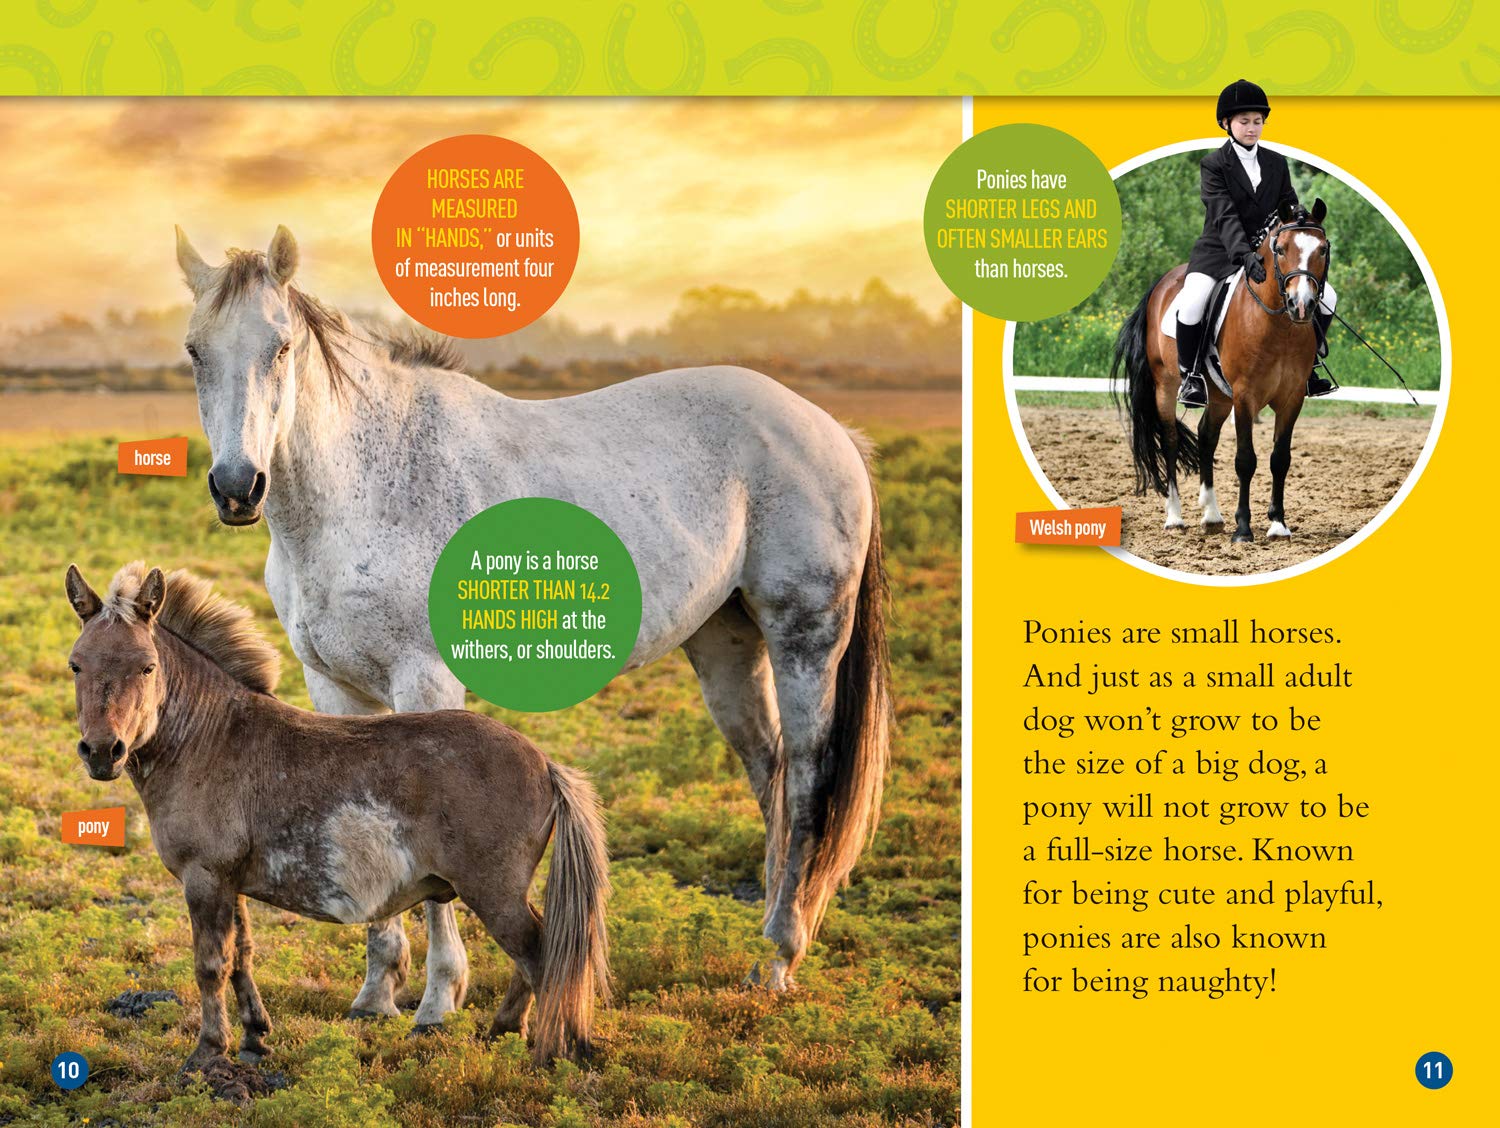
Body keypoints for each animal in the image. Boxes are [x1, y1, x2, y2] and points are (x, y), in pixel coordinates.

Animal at [64, 561, 610, 1070]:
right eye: (75, 665)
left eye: (147, 667)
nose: (102, 751)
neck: (210, 737)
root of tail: (545, 764)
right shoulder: (229, 881)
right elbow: (242, 958)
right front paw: (254, 1038)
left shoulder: (204, 878)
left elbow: (211, 965)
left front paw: (207, 1053)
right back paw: (502, 1032)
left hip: (494, 894)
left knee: (541, 956)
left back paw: (548, 1052)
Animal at [172, 226, 891, 1019]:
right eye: (195, 351)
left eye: (281, 347)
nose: (238, 487)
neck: (365, 483)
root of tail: (830, 430)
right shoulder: (334, 686)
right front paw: (376, 993)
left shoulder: (425, 684)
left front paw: (438, 998)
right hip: (726, 646)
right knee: (771, 774)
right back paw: (763, 944)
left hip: (805, 637)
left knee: (809, 779)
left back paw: (782, 956)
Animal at [1113, 199, 1330, 544]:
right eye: (1281, 249)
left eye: (1322, 249)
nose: (1301, 305)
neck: (1278, 325)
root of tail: (1161, 284)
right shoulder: (1245, 396)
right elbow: (1245, 460)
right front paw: (1243, 529)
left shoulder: (1292, 397)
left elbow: (1280, 459)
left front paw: (1278, 524)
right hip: (1166, 385)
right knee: (1170, 440)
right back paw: (1174, 518)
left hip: (1218, 395)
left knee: (1206, 436)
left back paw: (1212, 516)